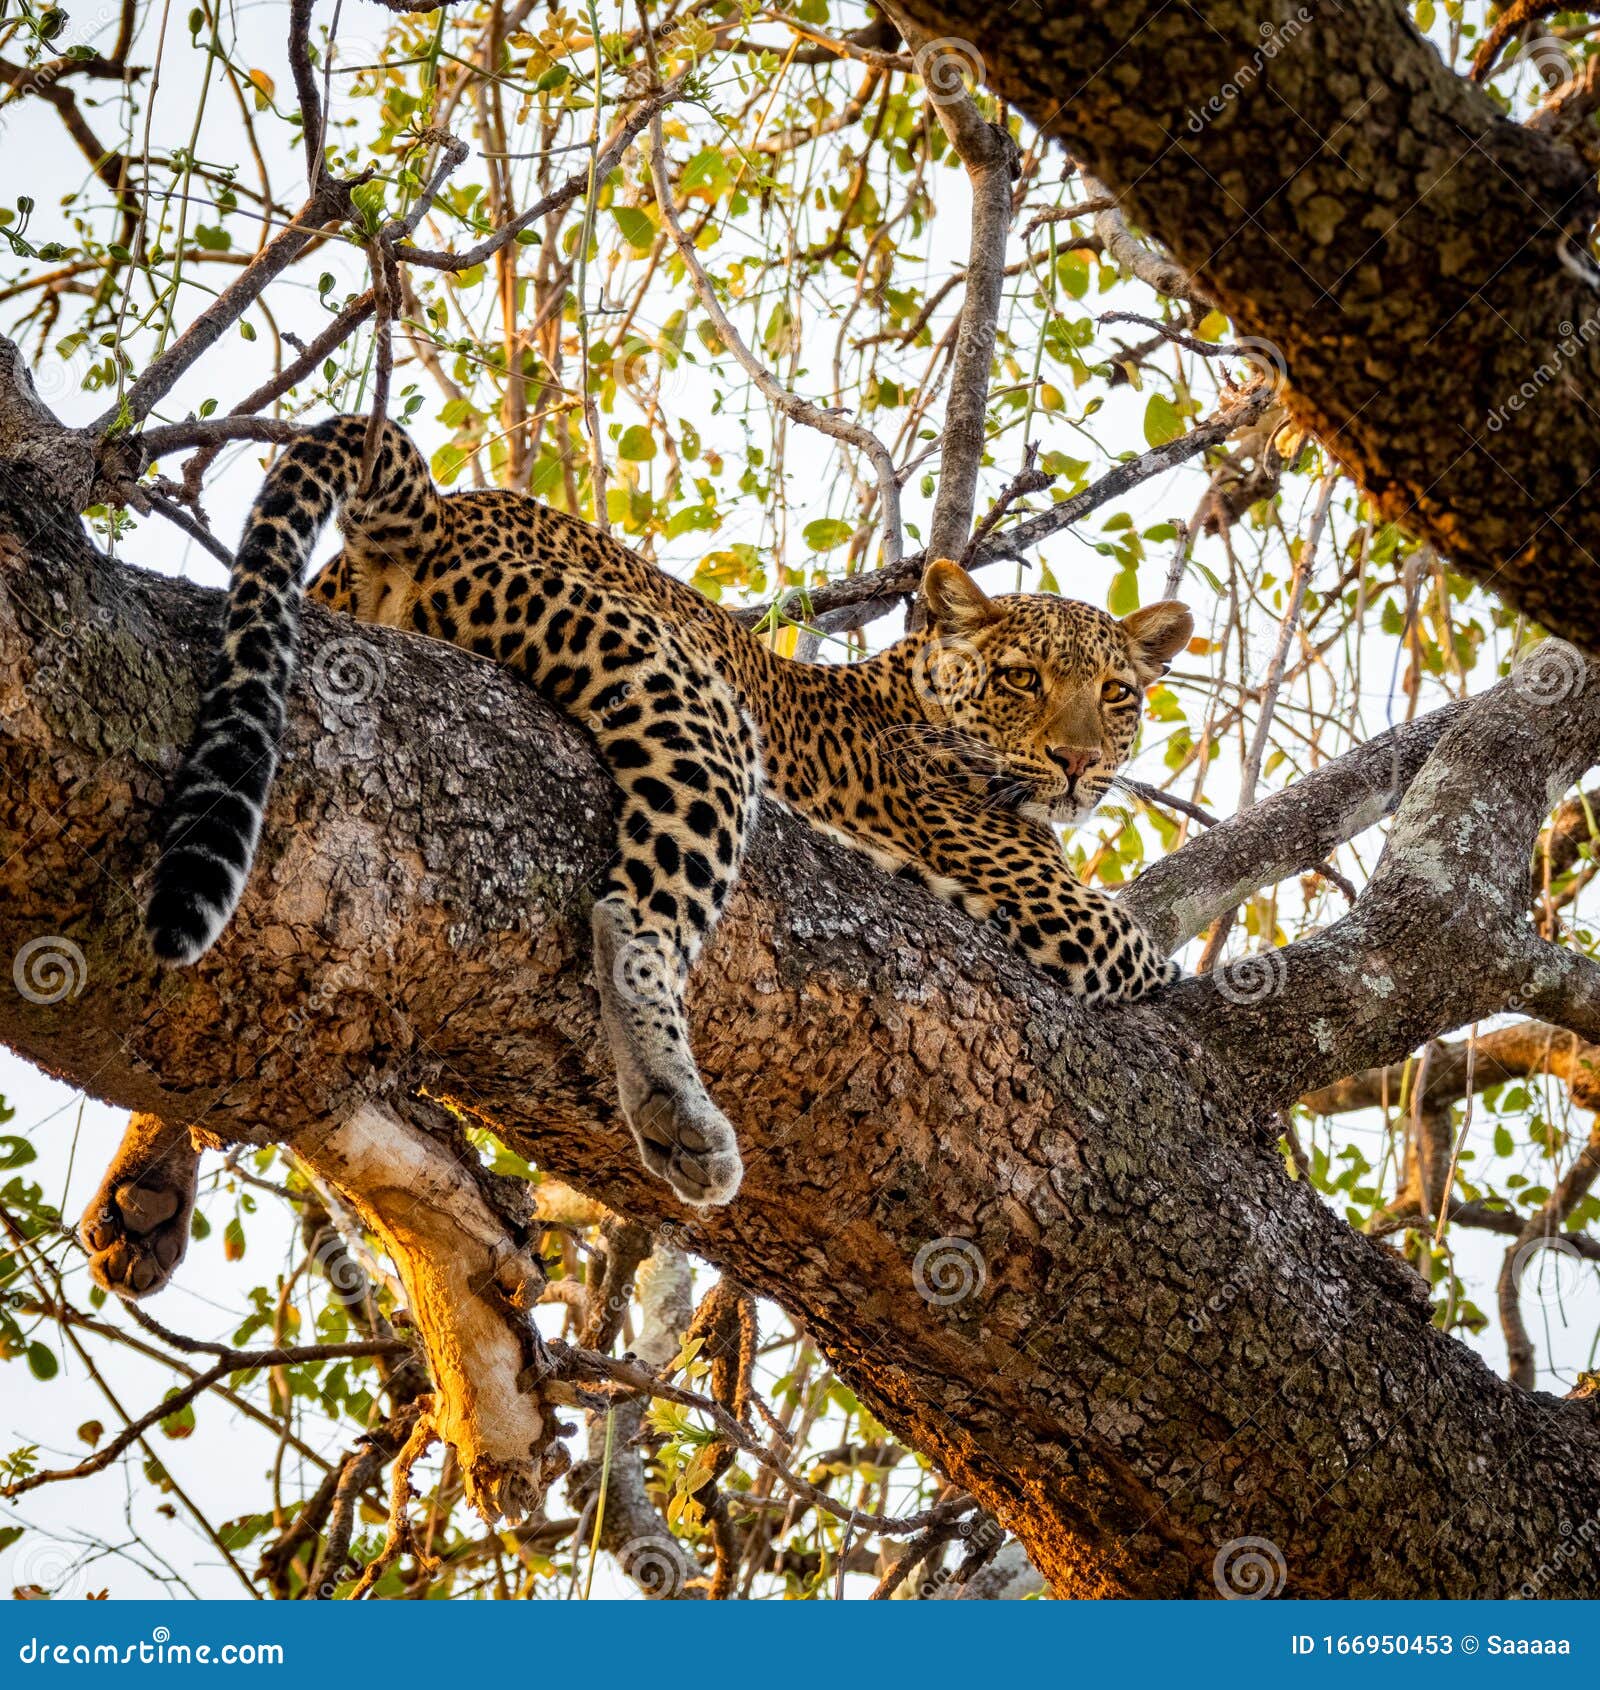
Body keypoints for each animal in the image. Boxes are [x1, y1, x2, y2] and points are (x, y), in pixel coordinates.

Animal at [86, 415, 1190, 1296]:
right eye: (1020, 679)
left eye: (1117, 694)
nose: (1079, 762)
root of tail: (440, 510)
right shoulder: (1061, 914)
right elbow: (1158, 963)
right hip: (688, 702)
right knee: (633, 914)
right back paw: (675, 1112)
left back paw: (146, 1188)